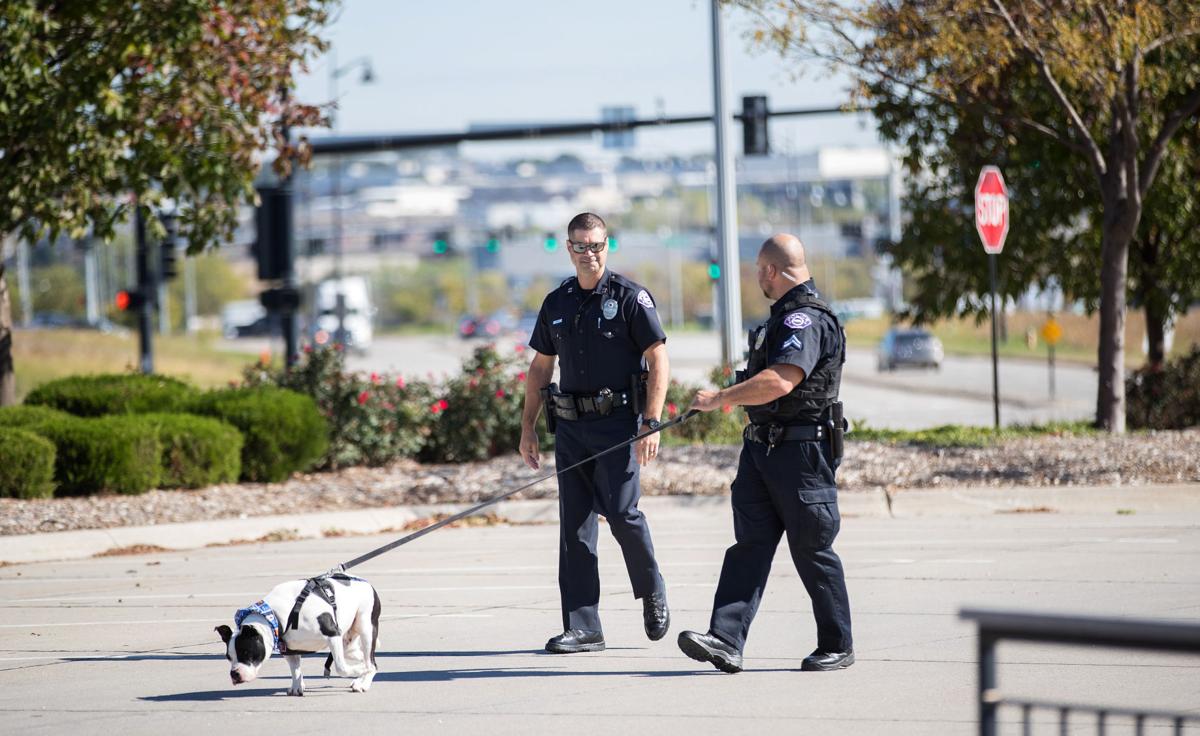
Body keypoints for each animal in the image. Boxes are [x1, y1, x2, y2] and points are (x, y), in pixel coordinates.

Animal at [217, 573, 379, 696]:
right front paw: (296, 687)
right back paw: (360, 678)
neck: (272, 617)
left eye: (246, 652)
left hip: (366, 628)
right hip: (348, 643)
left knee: (371, 662)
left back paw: (363, 681)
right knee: (363, 656)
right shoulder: (288, 649)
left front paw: (360, 669)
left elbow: (341, 667)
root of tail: (366, 582)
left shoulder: (332, 634)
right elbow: (295, 669)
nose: (234, 674)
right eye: (228, 657)